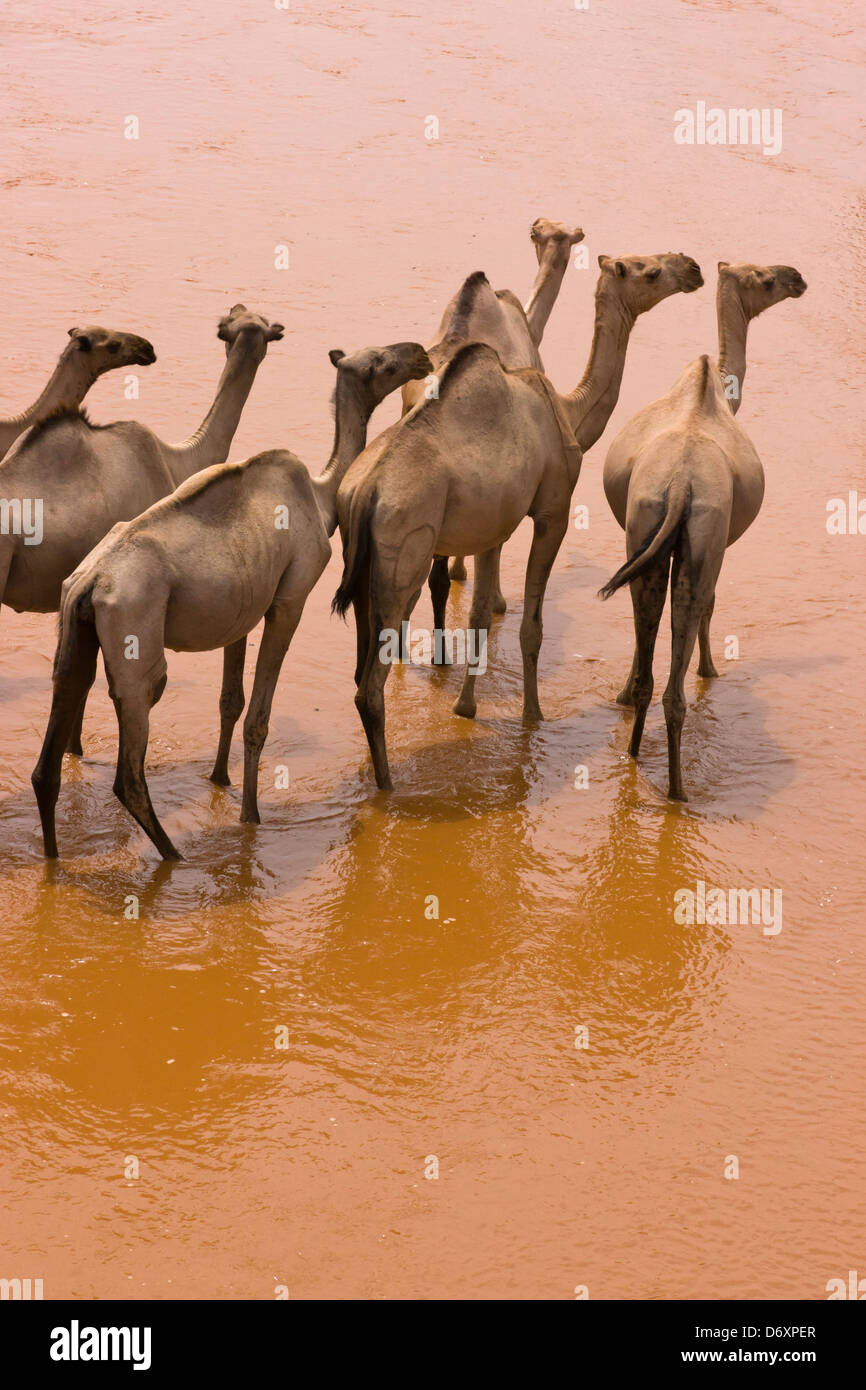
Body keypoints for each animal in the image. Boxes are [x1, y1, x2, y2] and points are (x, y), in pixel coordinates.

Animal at [33, 341, 433, 860]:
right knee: (132, 754)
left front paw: (220, 778)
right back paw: (174, 854)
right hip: (134, 628)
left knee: (58, 723)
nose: (421, 354)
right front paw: (250, 816)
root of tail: (92, 580)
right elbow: (258, 716)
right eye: (380, 363)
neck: (321, 496)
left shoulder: (240, 610)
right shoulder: (290, 598)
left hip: (74, 625)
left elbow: (230, 701)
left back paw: (53, 855)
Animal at [600, 261, 807, 799]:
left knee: (653, 657)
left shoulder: (643, 546)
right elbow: (713, 605)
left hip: (646, 518)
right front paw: (711, 668)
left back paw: (637, 754)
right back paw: (677, 789)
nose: (797, 277)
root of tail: (679, 485)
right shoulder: (722, 544)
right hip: (704, 536)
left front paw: (621, 694)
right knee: (692, 619)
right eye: (765, 280)